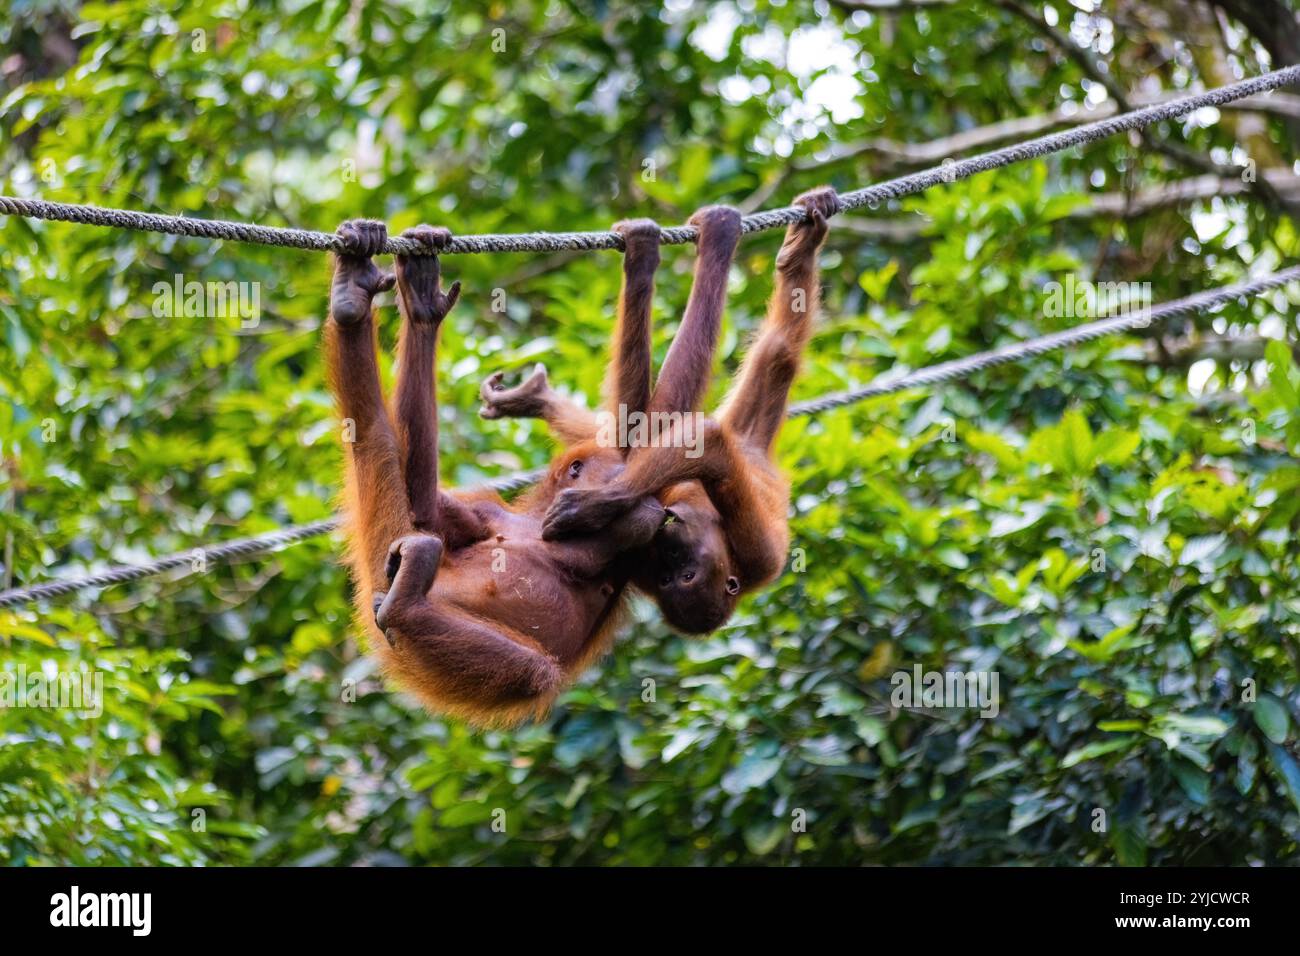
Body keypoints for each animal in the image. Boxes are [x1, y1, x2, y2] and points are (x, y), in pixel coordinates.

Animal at [324, 206, 743, 726]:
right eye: (621, 504)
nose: (654, 513)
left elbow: (653, 425)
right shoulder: (489, 514)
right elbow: (425, 506)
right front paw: (651, 255)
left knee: (531, 672)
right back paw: (374, 299)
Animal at [518, 187, 839, 635]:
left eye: (682, 576)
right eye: (669, 575)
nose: (669, 548)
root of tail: (757, 451)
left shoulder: (757, 552)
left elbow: (695, 439)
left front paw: (597, 504)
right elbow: (672, 434)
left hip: (747, 429)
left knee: (776, 354)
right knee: (777, 354)